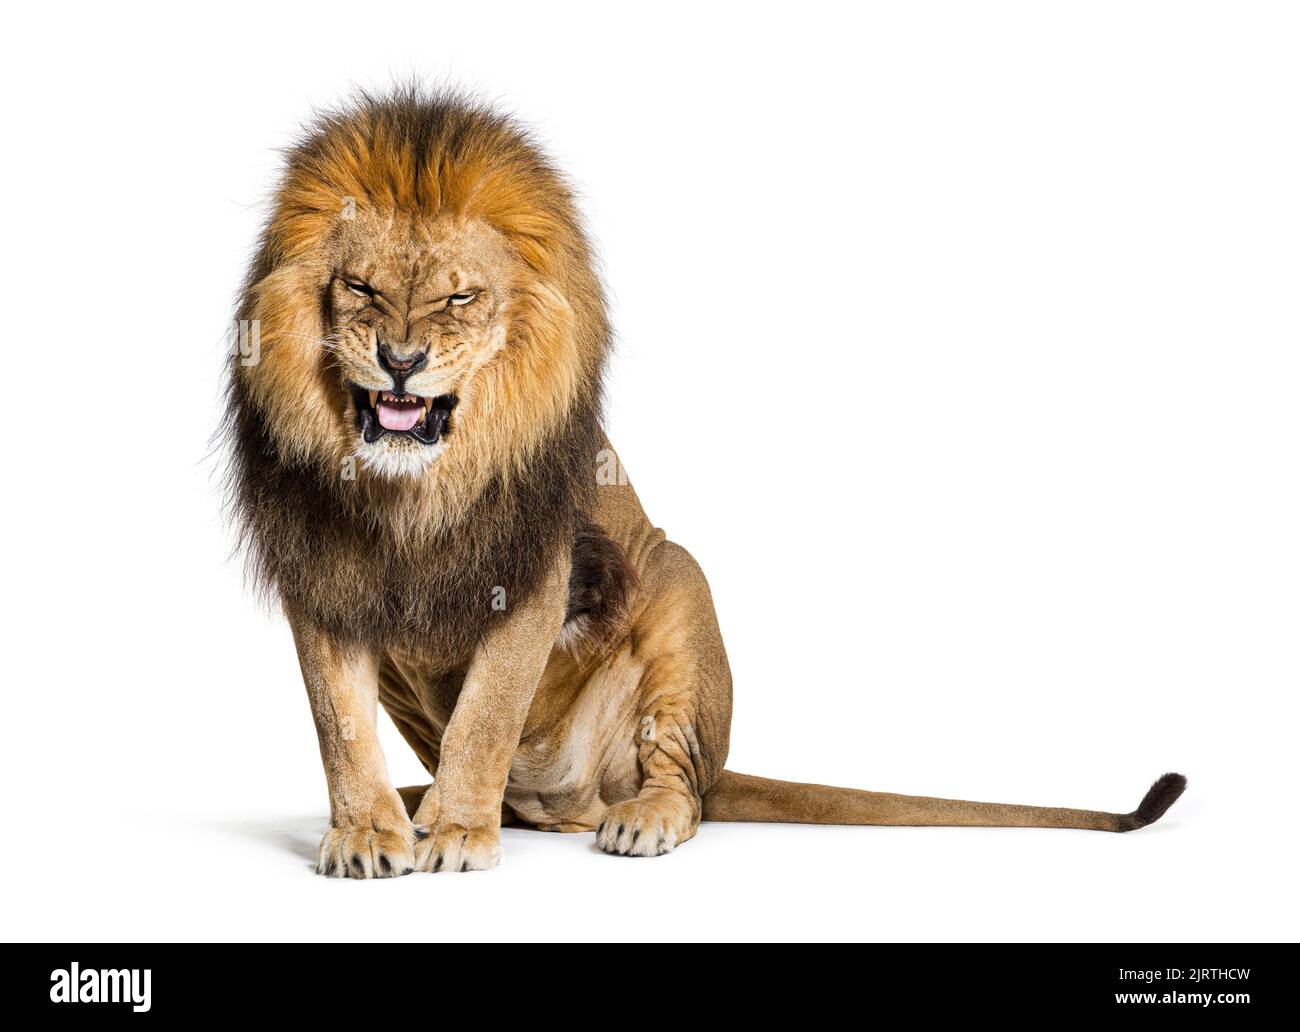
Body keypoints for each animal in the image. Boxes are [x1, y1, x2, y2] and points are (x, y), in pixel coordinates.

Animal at [226, 88, 1186, 876]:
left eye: (459, 299)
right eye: (360, 287)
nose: (400, 360)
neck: (414, 488)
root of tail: (556, 802)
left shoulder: (539, 574)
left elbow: (487, 715)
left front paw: (460, 833)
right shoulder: (321, 576)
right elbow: (340, 725)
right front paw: (365, 831)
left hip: (679, 586)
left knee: (680, 788)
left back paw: (614, 818)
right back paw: (414, 806)